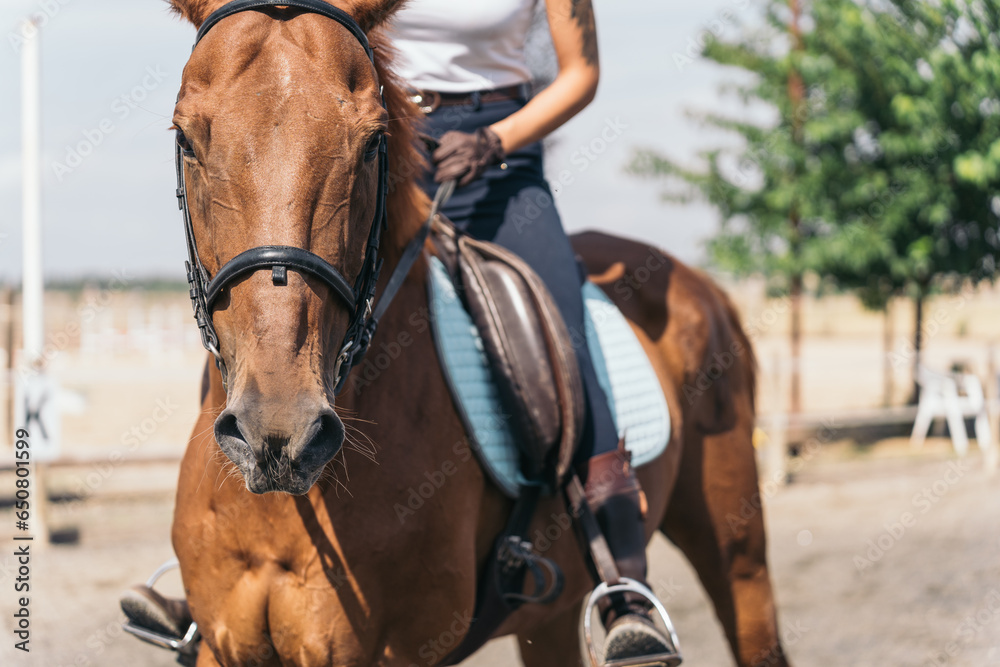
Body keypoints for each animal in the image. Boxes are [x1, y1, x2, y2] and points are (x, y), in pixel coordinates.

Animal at [165, 1, 790, 665]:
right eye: (186, 138)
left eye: (373, 142)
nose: (279, 432)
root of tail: (703, 284)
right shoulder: (223, 644)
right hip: (553, 614)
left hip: (737, 551)